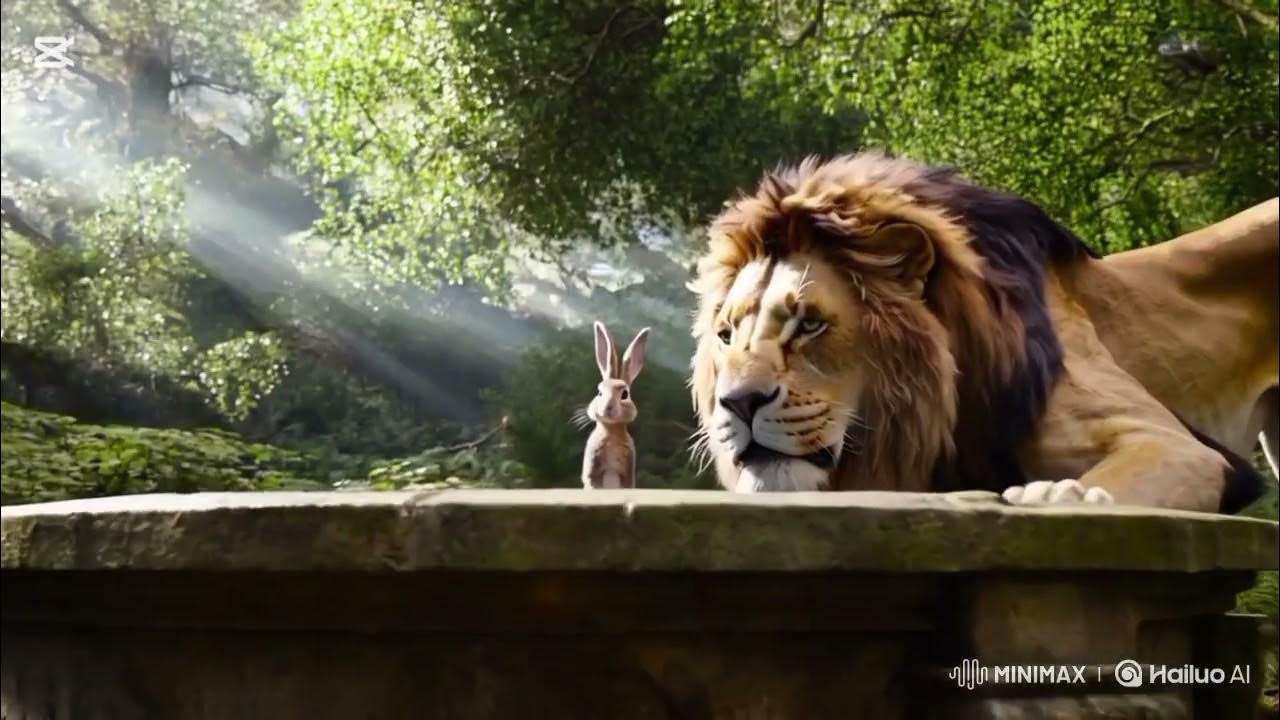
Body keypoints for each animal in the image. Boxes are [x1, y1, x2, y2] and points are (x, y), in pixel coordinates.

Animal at [580, 321, 650, 489]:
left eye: (624, 395)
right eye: (599, 392)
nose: (607, 409)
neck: (611, 432)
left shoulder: (628, 469)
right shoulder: (593, 465)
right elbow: (592, 482)